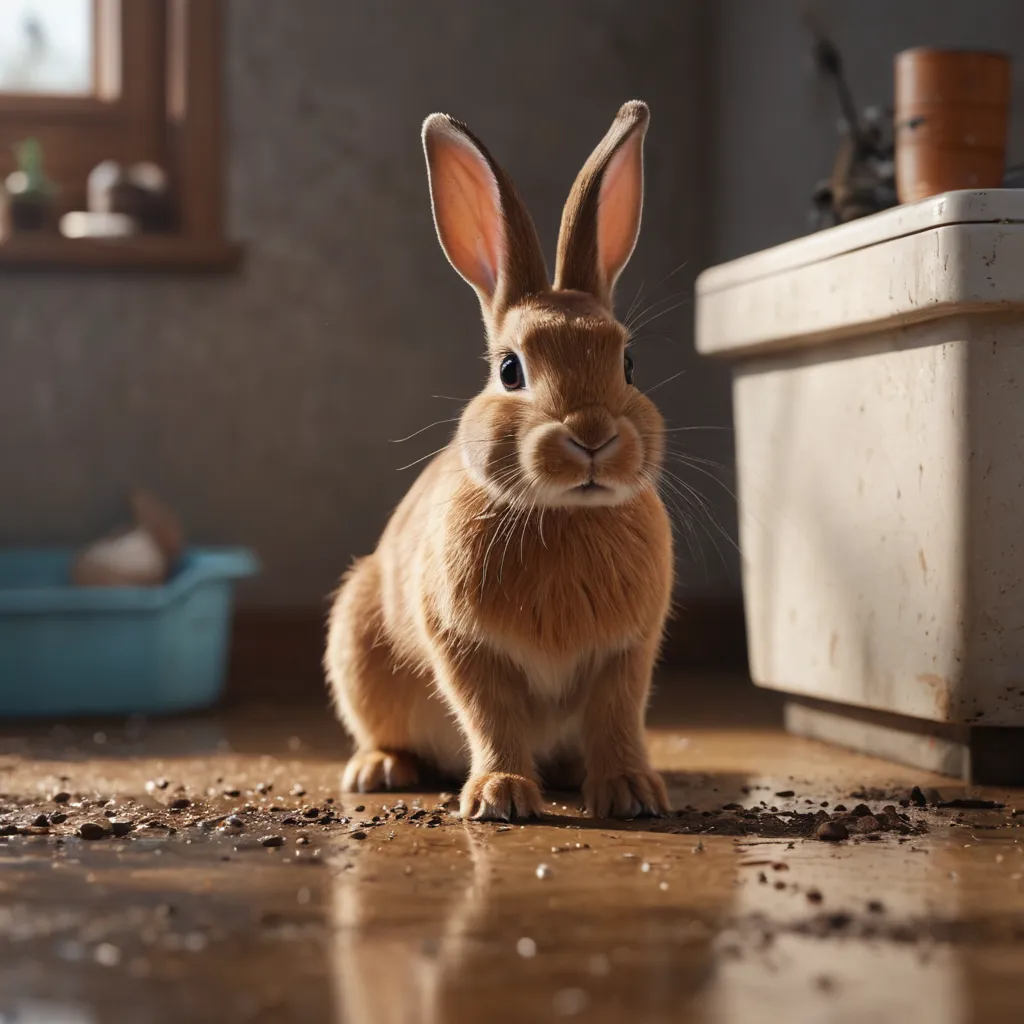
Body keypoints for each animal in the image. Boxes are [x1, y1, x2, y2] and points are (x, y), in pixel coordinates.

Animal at [325, 100, 673, 821]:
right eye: (510, 370)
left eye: (628, 363)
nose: (592, 435)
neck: (566, 514)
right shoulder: (465, 647)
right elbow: (490, 716)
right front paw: (501, 796)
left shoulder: (627, 655)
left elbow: (617, 717)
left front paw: (632, 791)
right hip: (356, 647)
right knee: (386, 735)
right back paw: (378, 770)